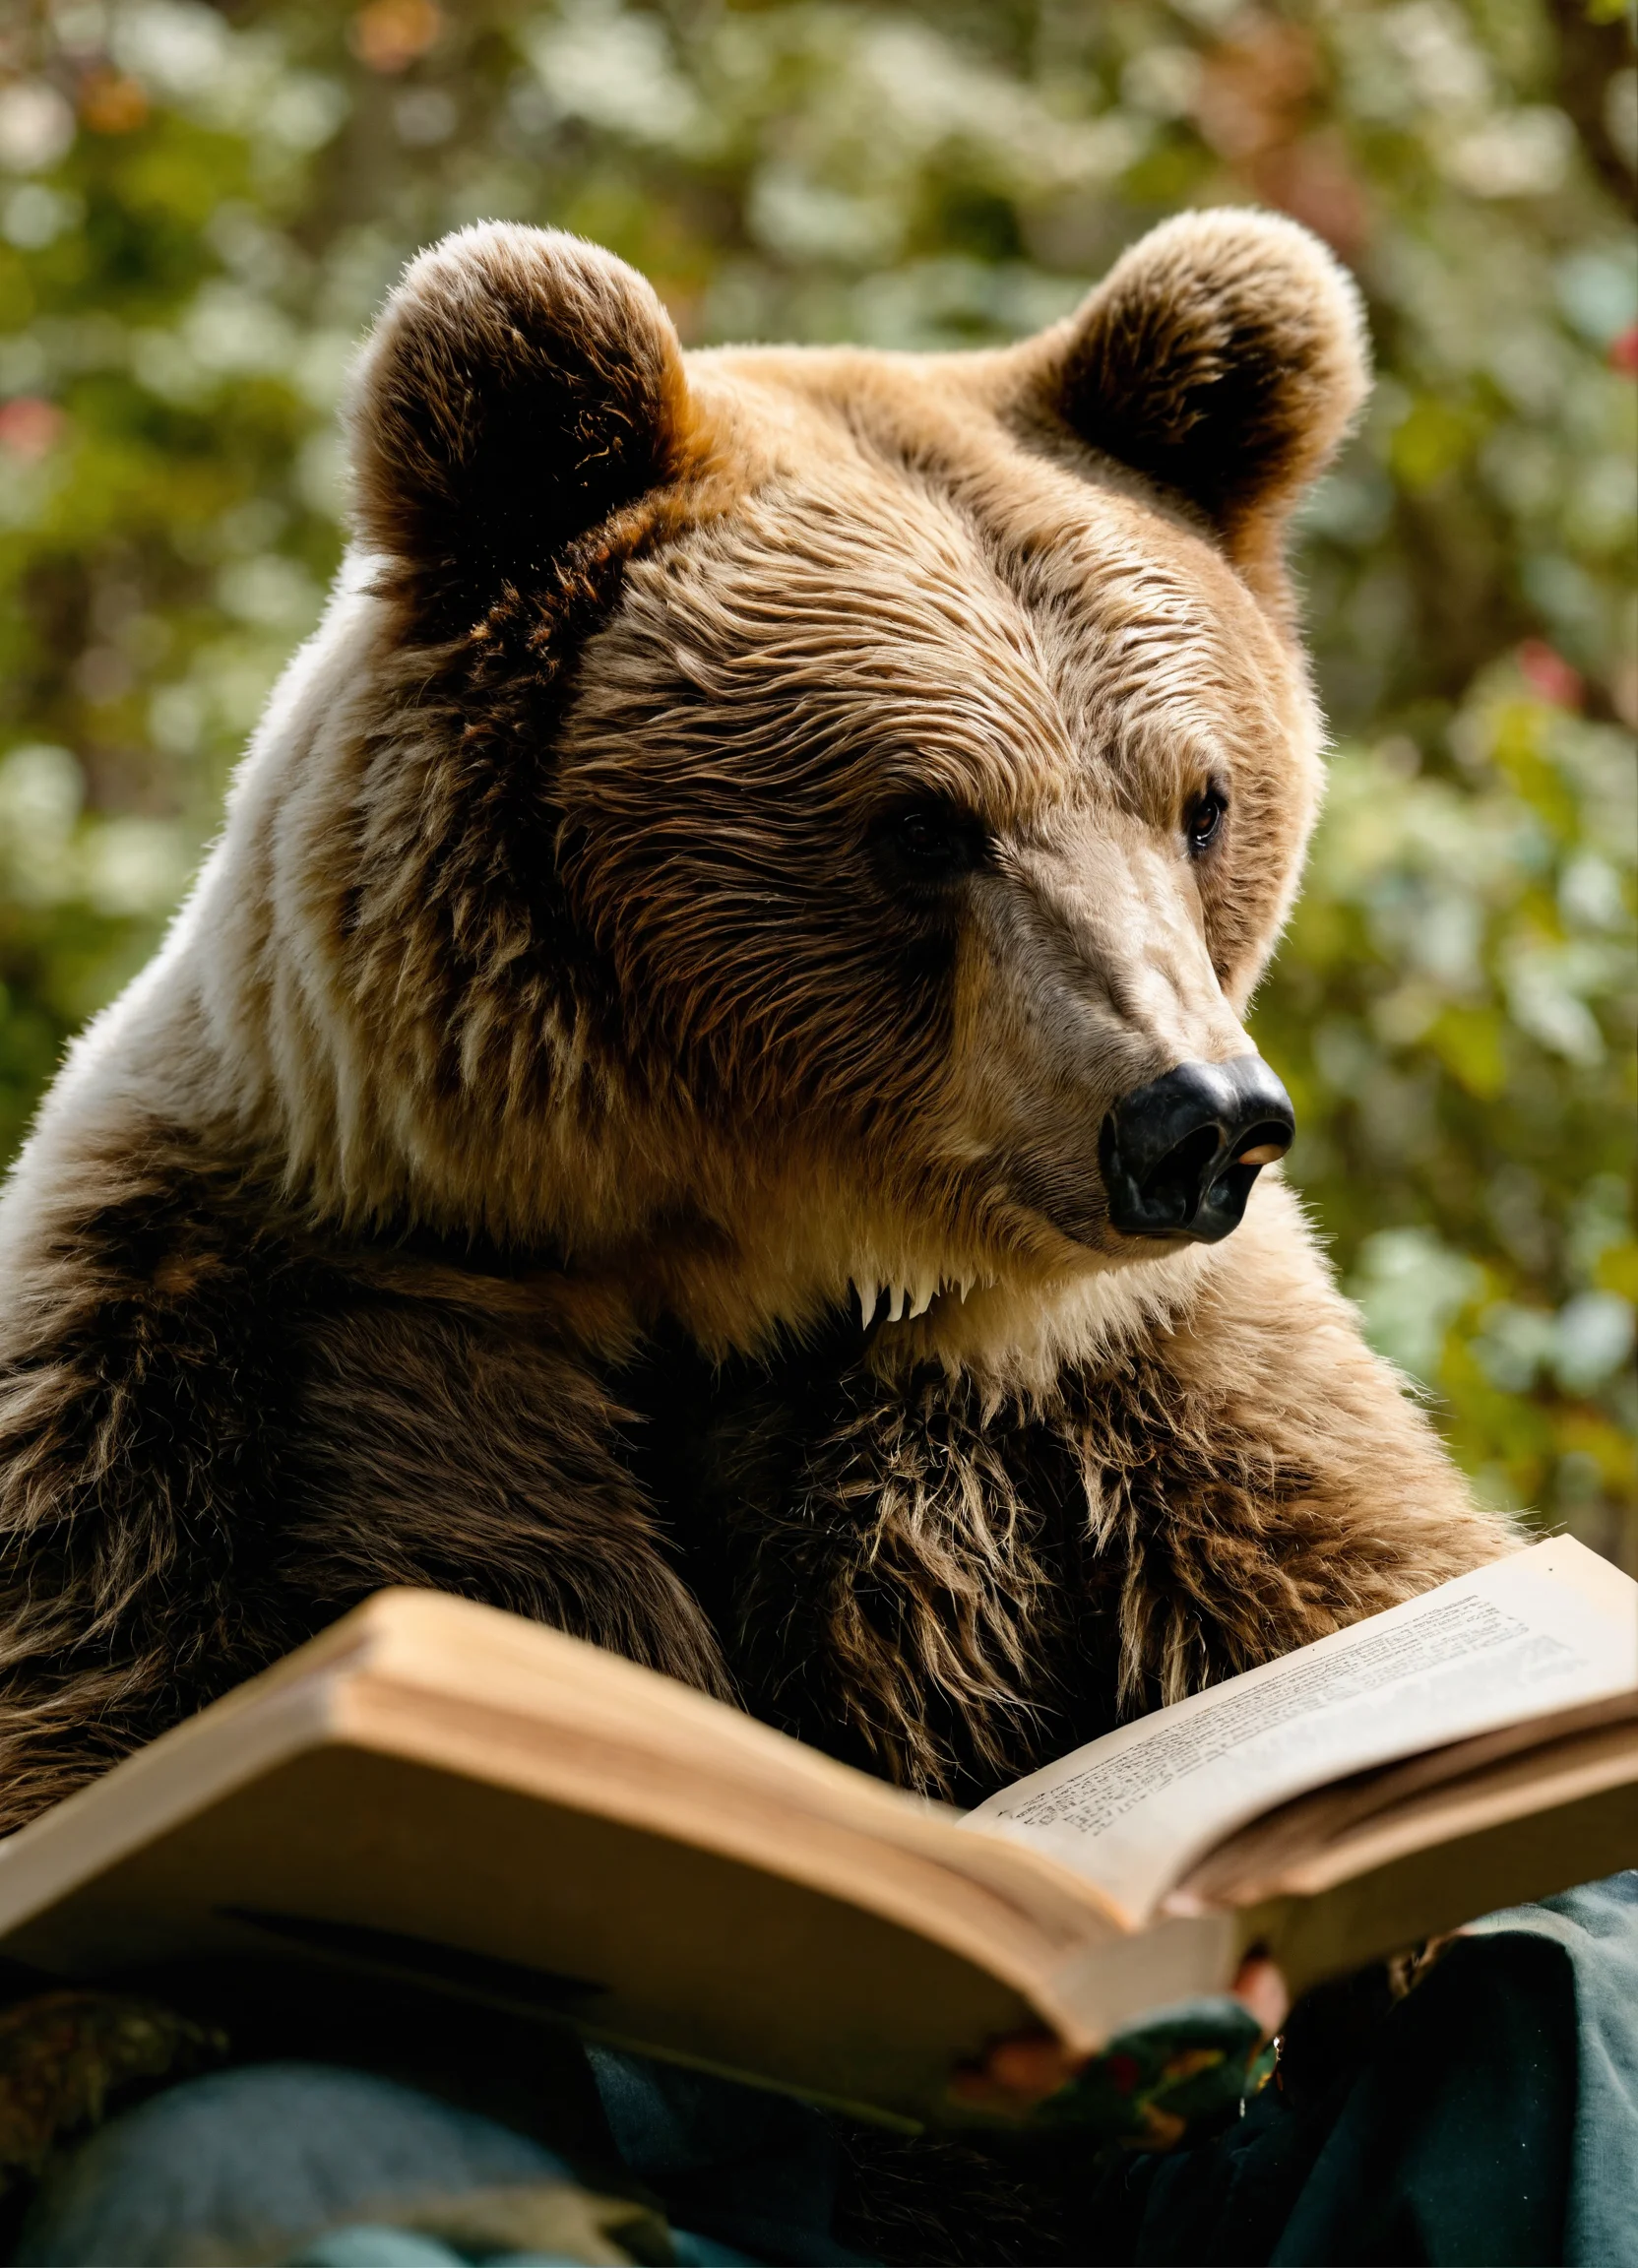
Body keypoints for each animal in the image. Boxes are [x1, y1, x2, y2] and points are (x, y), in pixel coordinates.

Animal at [0, 210, 1512, 1843]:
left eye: (1202, 803)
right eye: (923, 824)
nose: (1199, 1119)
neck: (730, 1254)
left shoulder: (1160, 1412)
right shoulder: (193, 1372)